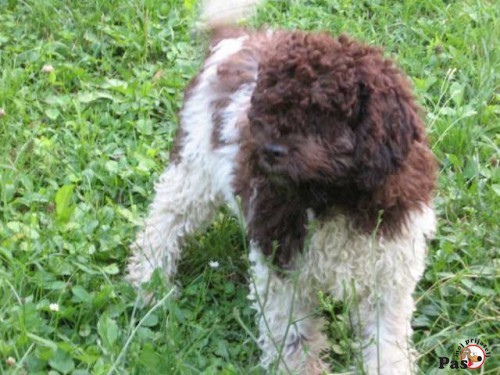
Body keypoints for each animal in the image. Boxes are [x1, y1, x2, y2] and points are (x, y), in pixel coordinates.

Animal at [126, 1, 438, 374]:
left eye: (321, 113)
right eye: (267, 107)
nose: (269, 150)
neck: (335, 200)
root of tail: (233, 42)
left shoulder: (389, 272)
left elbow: (386, 342)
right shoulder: (281, 264)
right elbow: (293, 337)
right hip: (194, 166)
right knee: (164, 221)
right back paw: (148, 281)